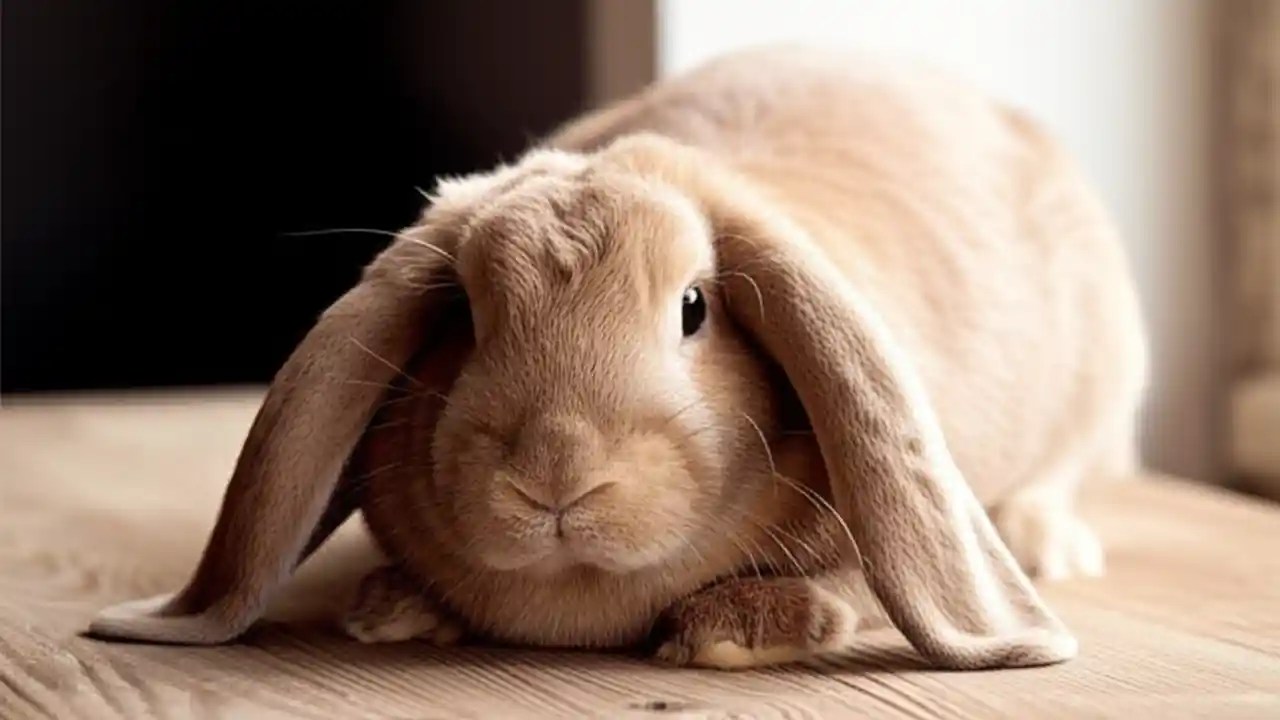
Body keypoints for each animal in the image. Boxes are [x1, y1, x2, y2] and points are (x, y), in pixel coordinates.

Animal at [87, 46, 1148, 671]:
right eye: (463, 312)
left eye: (694, 308)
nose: (556, 474)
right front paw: (393, 609)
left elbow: (860, 580)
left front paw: (742, 631)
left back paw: (1042, 538)